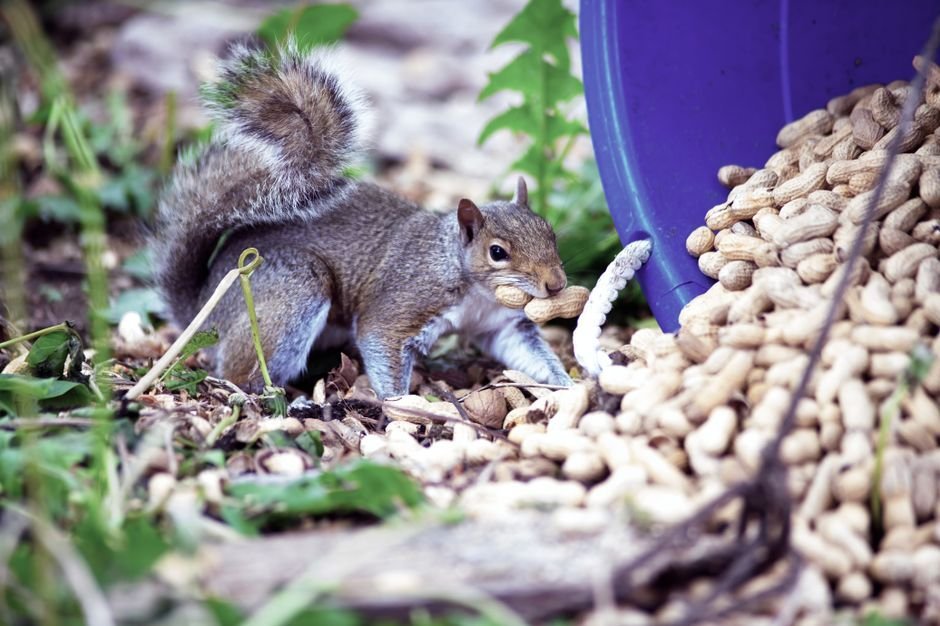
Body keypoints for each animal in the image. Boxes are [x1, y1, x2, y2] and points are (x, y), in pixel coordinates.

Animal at [152, 42, 573, 399]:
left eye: (550, 233)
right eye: (497, 252)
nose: (556, 284)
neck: (470, 285)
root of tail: (202, 309)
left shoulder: (503, 325)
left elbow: (529, 352)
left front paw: (567, 384)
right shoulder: (403, 304)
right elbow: (379, 340)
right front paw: (402, 403)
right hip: (293, 291)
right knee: (238, 374)